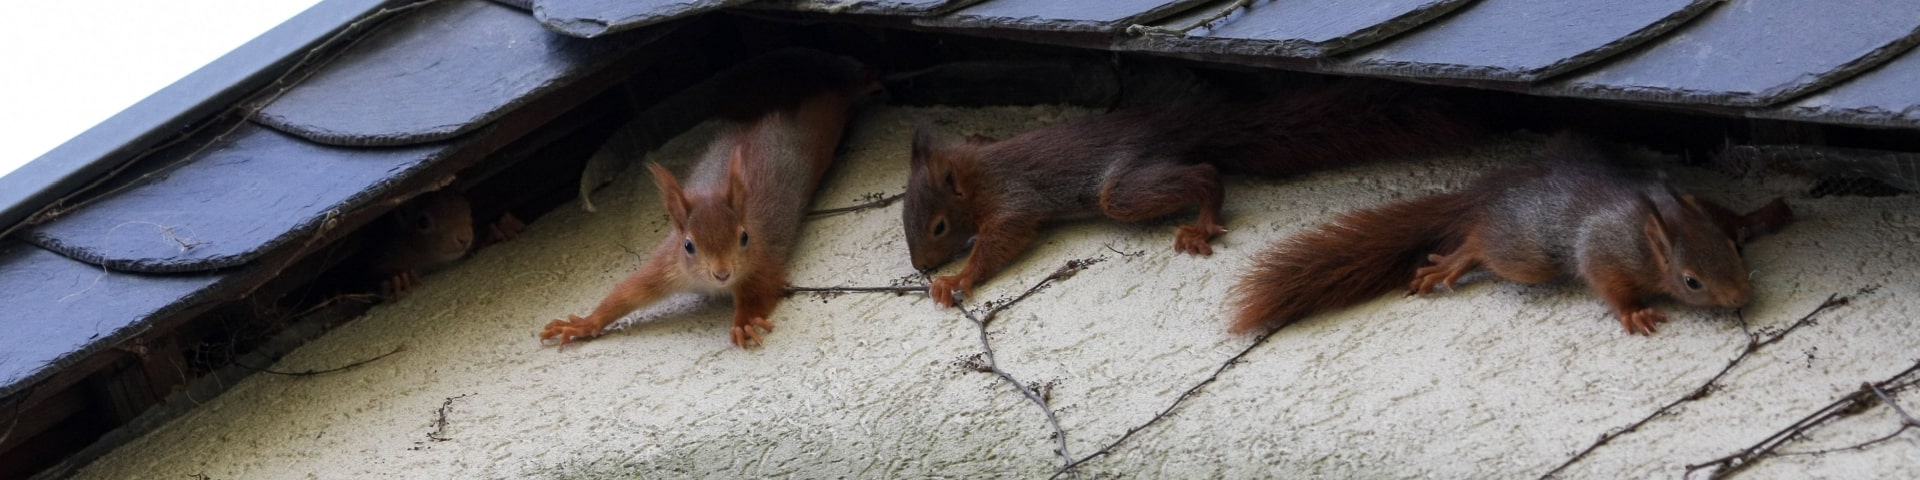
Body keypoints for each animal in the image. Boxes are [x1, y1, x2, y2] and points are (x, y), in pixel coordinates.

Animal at [540, 48, 875, 348]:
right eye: (689, 245)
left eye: (744, 237)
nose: (722, 273)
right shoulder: (667, 264)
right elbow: (627, 293)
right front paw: (583, 324)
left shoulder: (762, 261)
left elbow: (763, 289)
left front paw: (744, 322)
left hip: (822, 124)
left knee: (834, 99)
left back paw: (864, 84)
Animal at [904, 80, 1479, 307]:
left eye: (938, 226)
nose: (921, 268)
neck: (976, 175)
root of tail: (1174, 125)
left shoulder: (1013, 199)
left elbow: (1002, 240)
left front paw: (957, 279)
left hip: (1125, 187)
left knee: (1203, 173)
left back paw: (1202, 222)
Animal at [1228, 135, 1792, 335]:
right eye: (1691, 282)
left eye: (1733, 251)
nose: (1741, 298)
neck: (1651, 233)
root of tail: (1491, 189)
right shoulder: (1605, 251)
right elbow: (1608, 285)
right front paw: (1634, 313)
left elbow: (1731, 213)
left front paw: (1765, 211)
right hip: (1526, 253)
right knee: (1479, 242)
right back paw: (1454, 261)